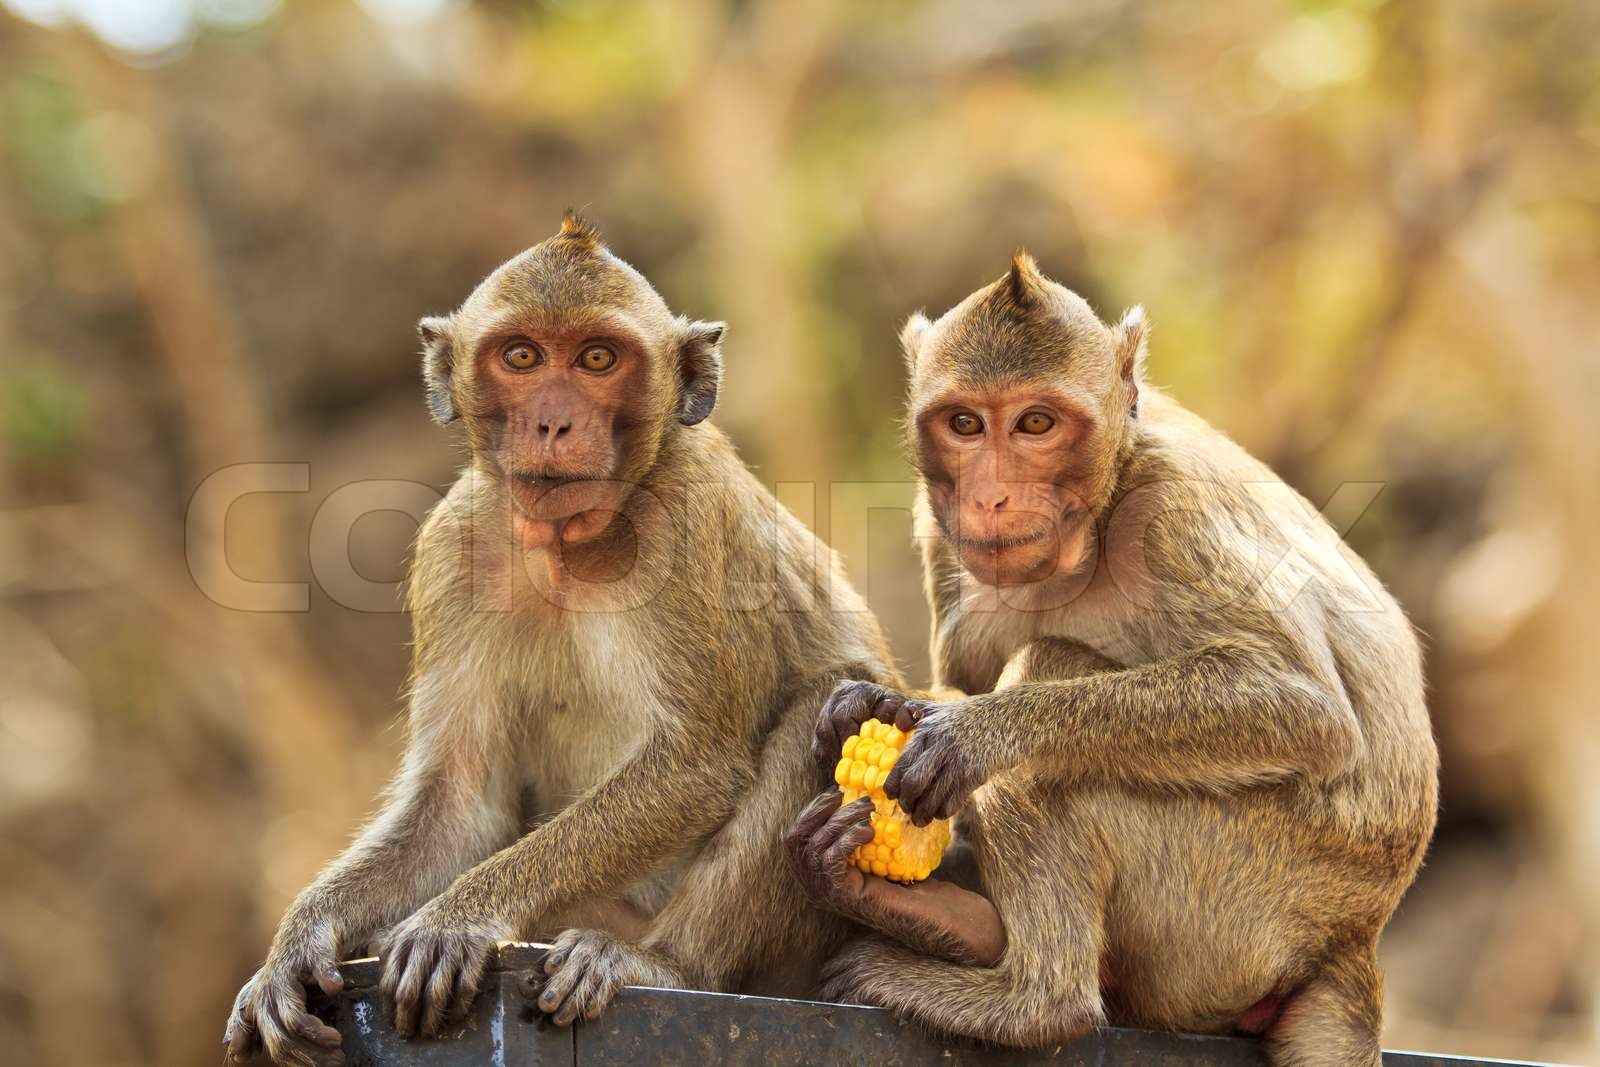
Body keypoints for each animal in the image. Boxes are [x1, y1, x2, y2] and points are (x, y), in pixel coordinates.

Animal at [222, 214, 898, 1067]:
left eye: (598, 358)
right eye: (521, 356)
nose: (552, 422)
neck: (569, 546)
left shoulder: (689, 518)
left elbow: (695, 764)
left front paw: (457, 915)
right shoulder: (455, 545)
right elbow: (457, 803)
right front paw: (296, 942)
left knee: (827, 704)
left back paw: (663, 961)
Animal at [790, 251, 1438, 1067]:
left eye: (1036, 423)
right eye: (966, 423)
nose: (992, 497)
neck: (1093, 526)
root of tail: (1353, 940)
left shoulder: (1170, 510)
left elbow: (1306, 710)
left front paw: (976, 731)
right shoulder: (938, 532)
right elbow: (955, 681)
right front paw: (874, 704)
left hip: (1245, 896)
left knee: (1049, 691)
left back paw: (1029, 1000)